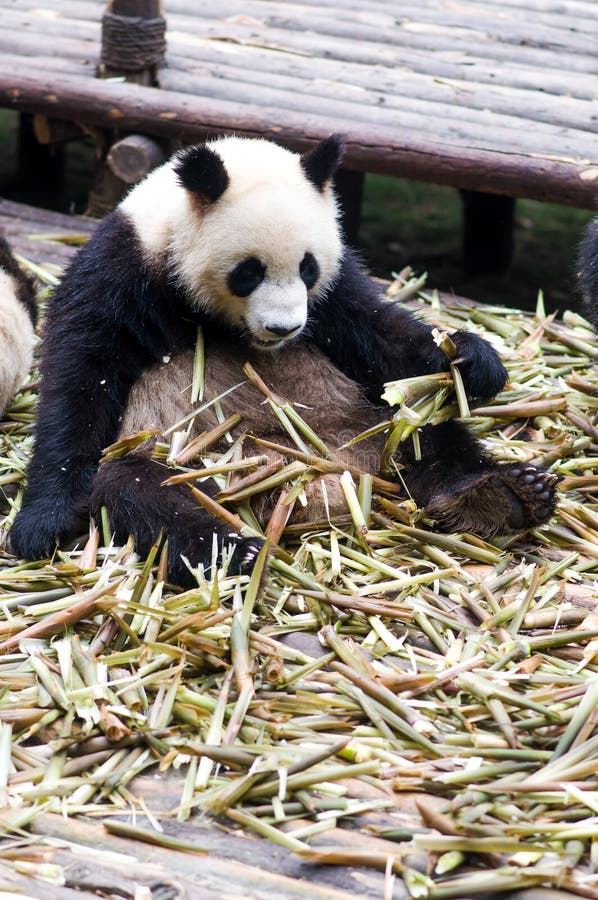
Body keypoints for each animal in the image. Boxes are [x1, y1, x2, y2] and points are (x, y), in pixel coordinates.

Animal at [10, 136, 557, 587]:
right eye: (248, 272)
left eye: (307, 267)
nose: (285, 329)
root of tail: (323, 483)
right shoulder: (121, 270)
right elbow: (80, 378)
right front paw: (42, 523)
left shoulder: (335, 295)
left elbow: (380, 335)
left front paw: (474, 359)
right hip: (189, 458)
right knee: (142, 489)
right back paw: (236, 552)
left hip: (365, 418)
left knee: (423, 432)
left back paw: (503, 495)